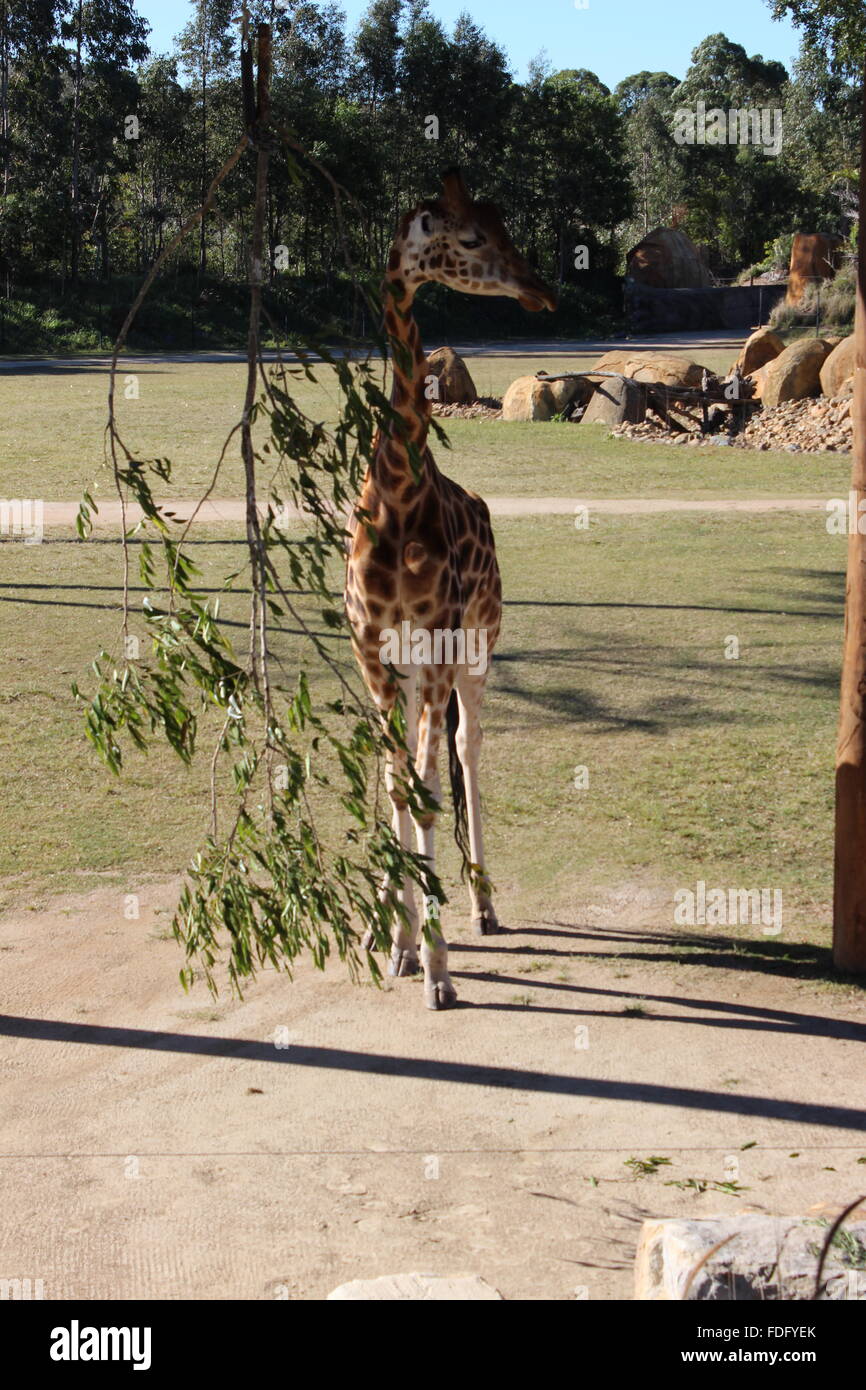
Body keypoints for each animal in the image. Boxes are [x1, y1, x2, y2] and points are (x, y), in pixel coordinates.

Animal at [345, 169, 556, 1010]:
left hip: (476, 652)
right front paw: (394, 942)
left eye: (504, 225)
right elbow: (397, 784)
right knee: (416, 763)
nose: (540, 289)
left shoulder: (437, 637)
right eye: (470, 236)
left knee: (466, 750)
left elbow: (430, 785)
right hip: (420, 666)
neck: (396, 494)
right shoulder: (374, 651)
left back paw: (483, 904)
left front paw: (436, 966)